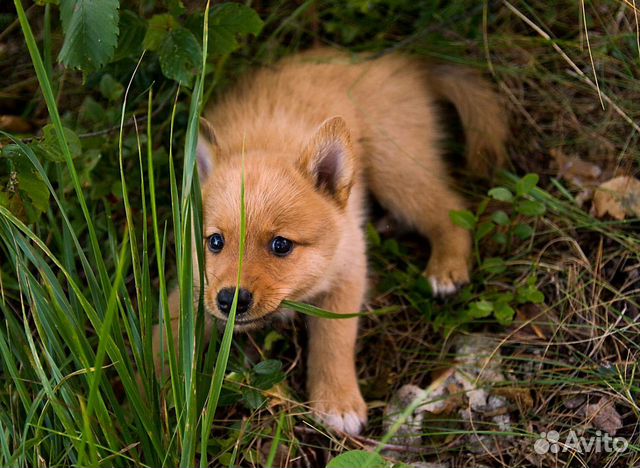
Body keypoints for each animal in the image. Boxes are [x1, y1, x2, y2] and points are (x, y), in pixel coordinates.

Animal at [152, 48, 508, 436]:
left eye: (281, 245)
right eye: (215, 242)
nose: (231, 301)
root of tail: (400, 63)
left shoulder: (348, 272)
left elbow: (333, 341)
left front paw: (337, 401)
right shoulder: (192, 289)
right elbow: (162, 345)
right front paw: (145, 406)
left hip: (396, 168)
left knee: (450, 210)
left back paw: (446, 267)